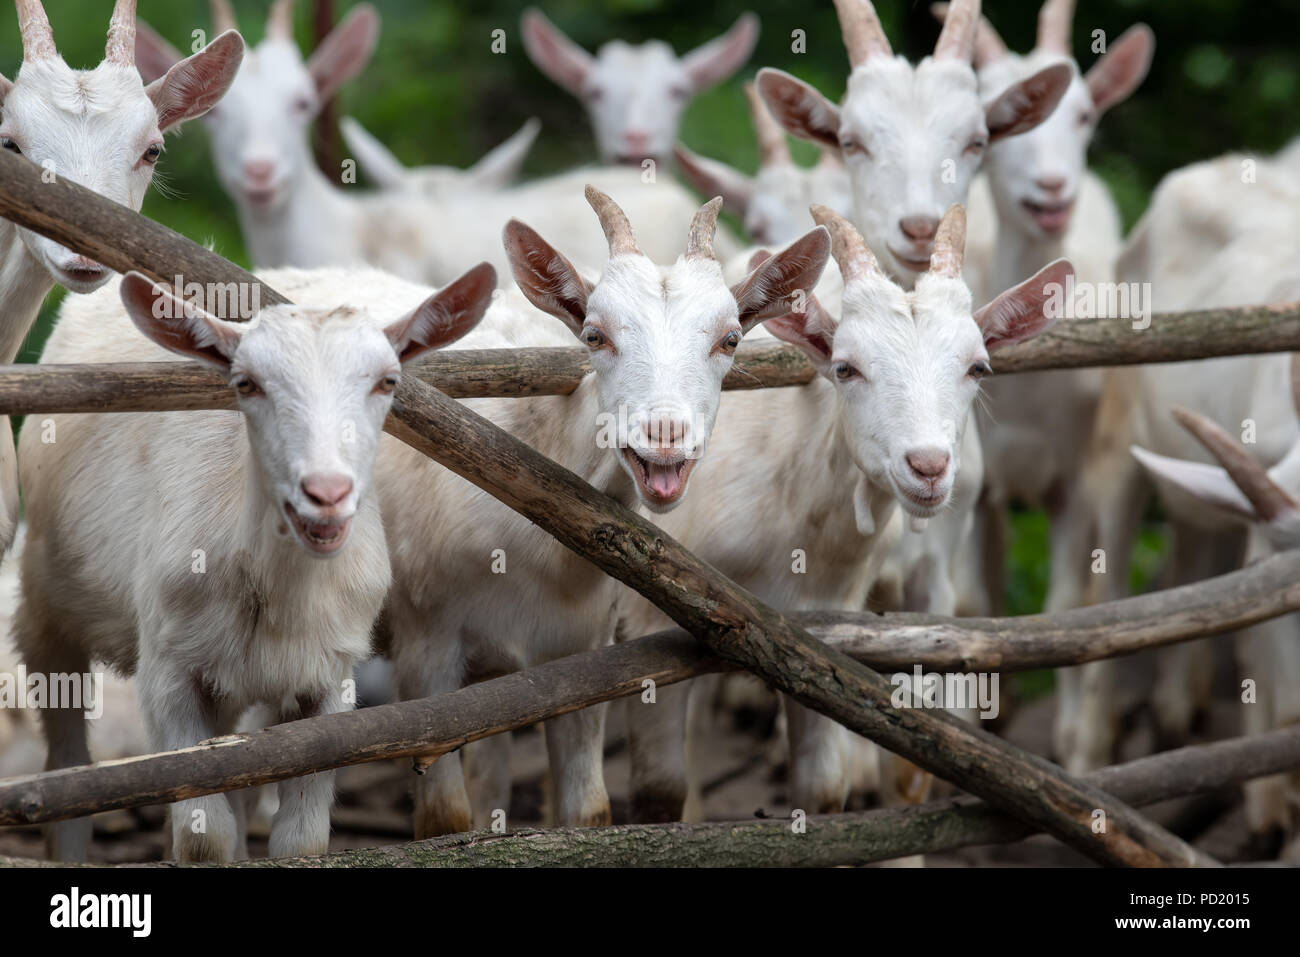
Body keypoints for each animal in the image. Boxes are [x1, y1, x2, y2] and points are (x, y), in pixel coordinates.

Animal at [15, 261, 497, 862]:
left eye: (388, 381)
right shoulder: (168, 672)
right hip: (42, 605)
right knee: (66, 760)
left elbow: (300, 837)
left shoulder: (329, 682)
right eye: (247, 383)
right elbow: (204, 838)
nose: (327, 493)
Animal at [376, 187, 831, 836]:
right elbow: (444, 817)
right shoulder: (424, 647)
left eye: (731, 339)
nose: (665, 436)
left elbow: (588, 810)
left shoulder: (580, 656)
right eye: (594, 335)